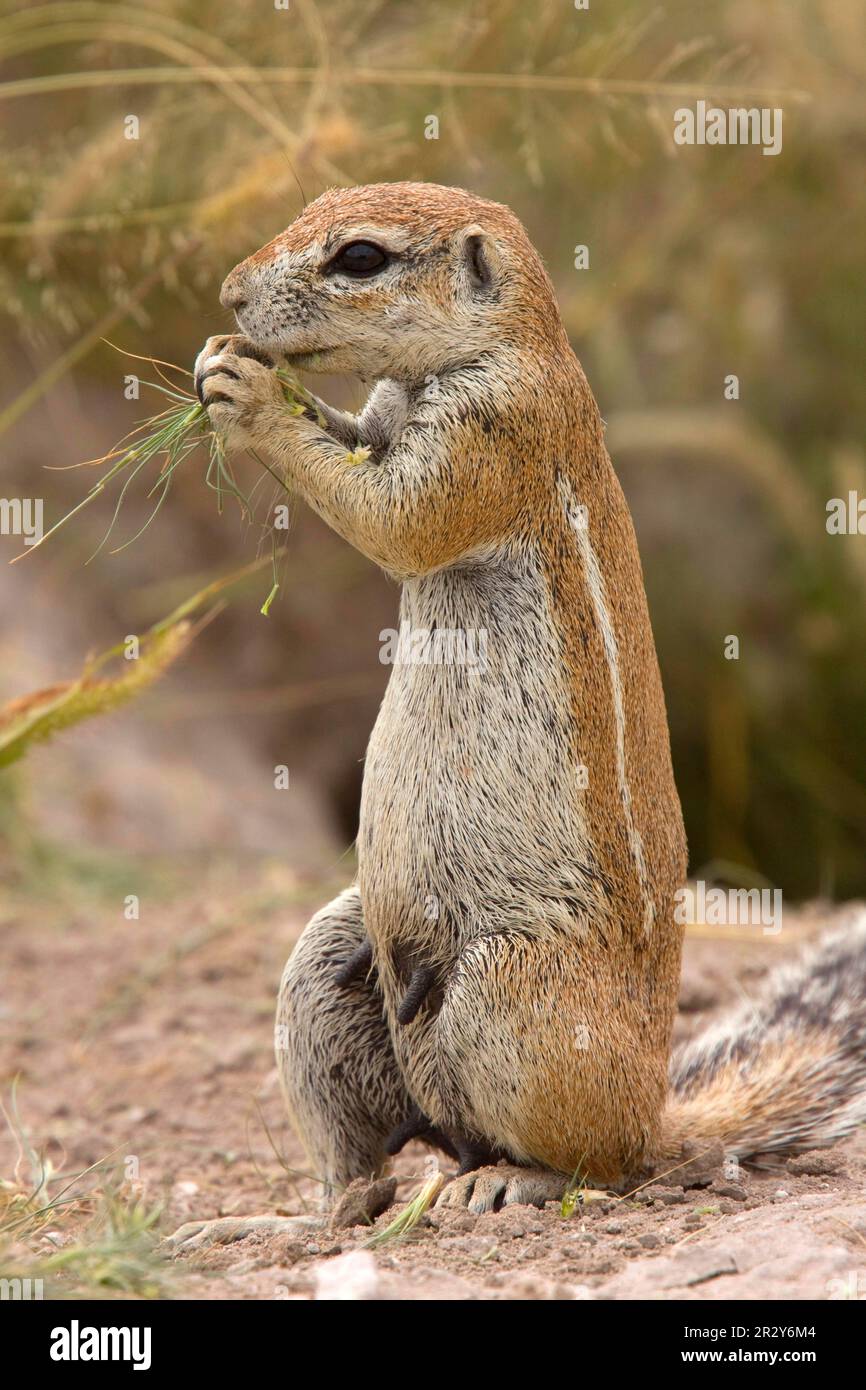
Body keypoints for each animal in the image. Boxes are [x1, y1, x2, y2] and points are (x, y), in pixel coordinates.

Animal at [193, 182, 866, 1214]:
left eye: (359, 257)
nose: (228, 294)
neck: (503, 348)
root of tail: (656, 1118)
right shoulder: (390, 414)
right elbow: (351, 447)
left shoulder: (490, 434)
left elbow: (393, 516)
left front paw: (246, 390)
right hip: (331, 958)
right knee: (379, 1151)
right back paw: (323, 1209)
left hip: (514, 990)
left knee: (592, 1164)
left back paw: (512, 1181)